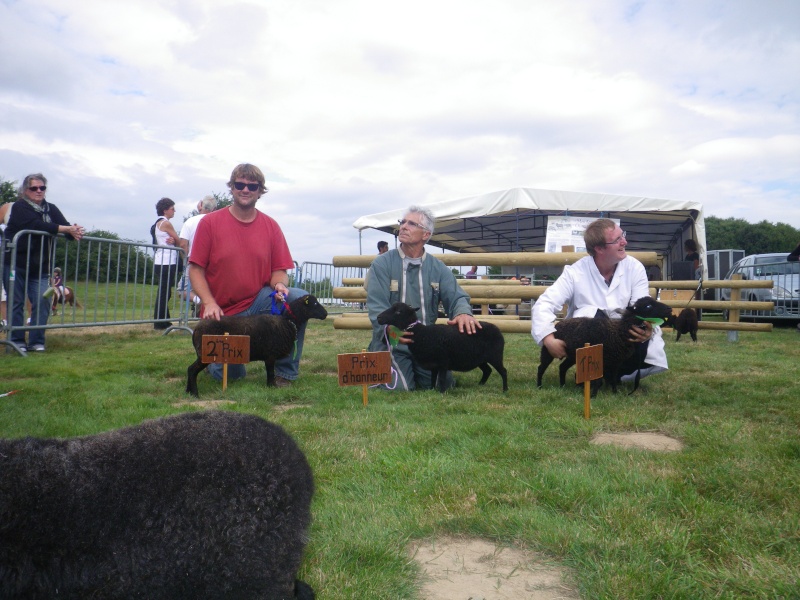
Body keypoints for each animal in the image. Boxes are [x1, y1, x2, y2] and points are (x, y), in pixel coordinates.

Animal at [186, 292, 326, 396]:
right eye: (314, 303)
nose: (325, 314)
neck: (287, 323)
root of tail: (196, 329)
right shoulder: (270, 355)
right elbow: (270, 373)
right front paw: (272, 387)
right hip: (206, 353)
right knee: (192, 370)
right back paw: (195, 393)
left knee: (190, 369)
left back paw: (188, 391)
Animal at [374, 300, 506, 394]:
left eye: (398, 312)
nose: (378, 318)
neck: (420, 333)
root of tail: (498, 330)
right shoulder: (434, 365)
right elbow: (432, 379)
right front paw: (431, 390)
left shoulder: (443, 362)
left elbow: (441, 379)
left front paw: (442, 393)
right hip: (480, 359)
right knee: (487, 370)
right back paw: (480, 385)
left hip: (495, 356)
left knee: (503, 371)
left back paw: (505, 390)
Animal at [536, 294, 676, 394]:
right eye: (648, 306)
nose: (670, 309)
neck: (620, 332)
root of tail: (558, 324)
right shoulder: (601, 360)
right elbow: (598, 380)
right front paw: (593, 395)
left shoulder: (616, 362)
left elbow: (613, 378)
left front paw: (615, 393)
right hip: (548, 350)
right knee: (541, 368)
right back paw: (539, 386)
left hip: (572, 355)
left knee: (562, 367)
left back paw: (562, 386)